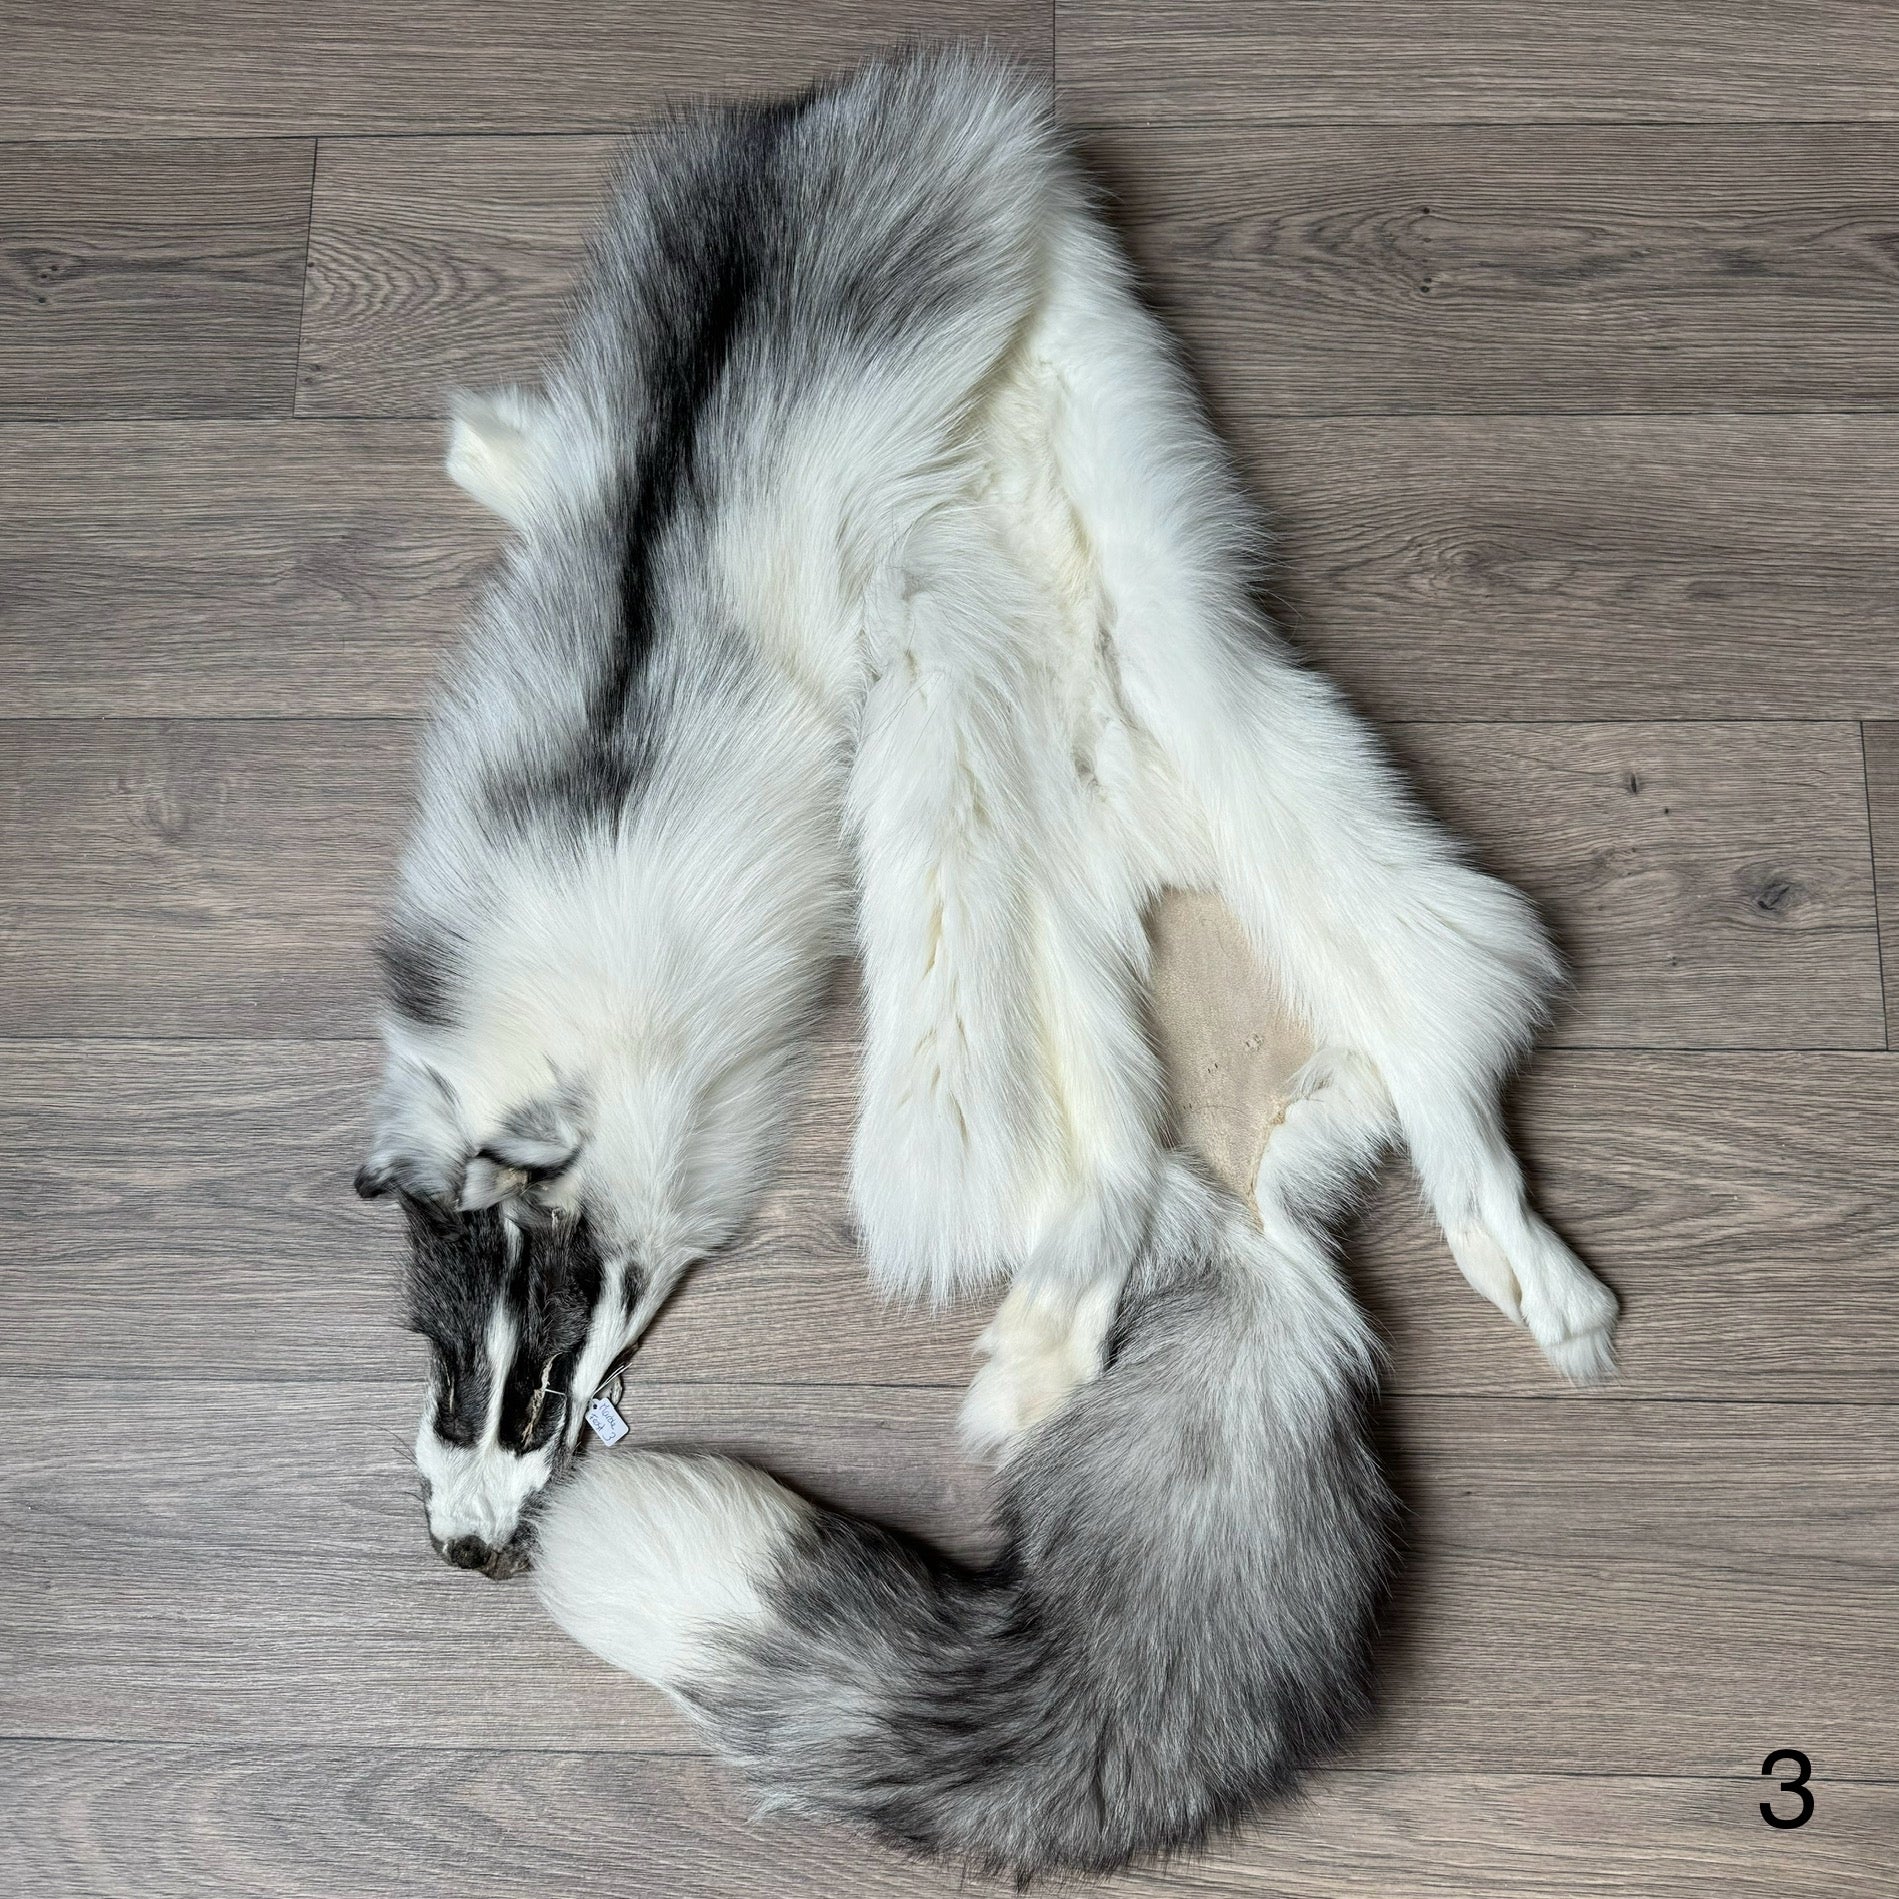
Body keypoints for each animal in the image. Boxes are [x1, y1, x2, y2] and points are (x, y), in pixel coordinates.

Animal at [355, 49, 1617, 1876]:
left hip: (1262, 880)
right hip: (1067, 992)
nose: (462, 1550)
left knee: (1448, 1088)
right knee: (1131, 1194)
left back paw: (1531, 1284)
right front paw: (495, 446)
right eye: (453, 1361)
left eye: (563, 1359)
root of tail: (1248, 1185)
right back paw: (1053, 1356)